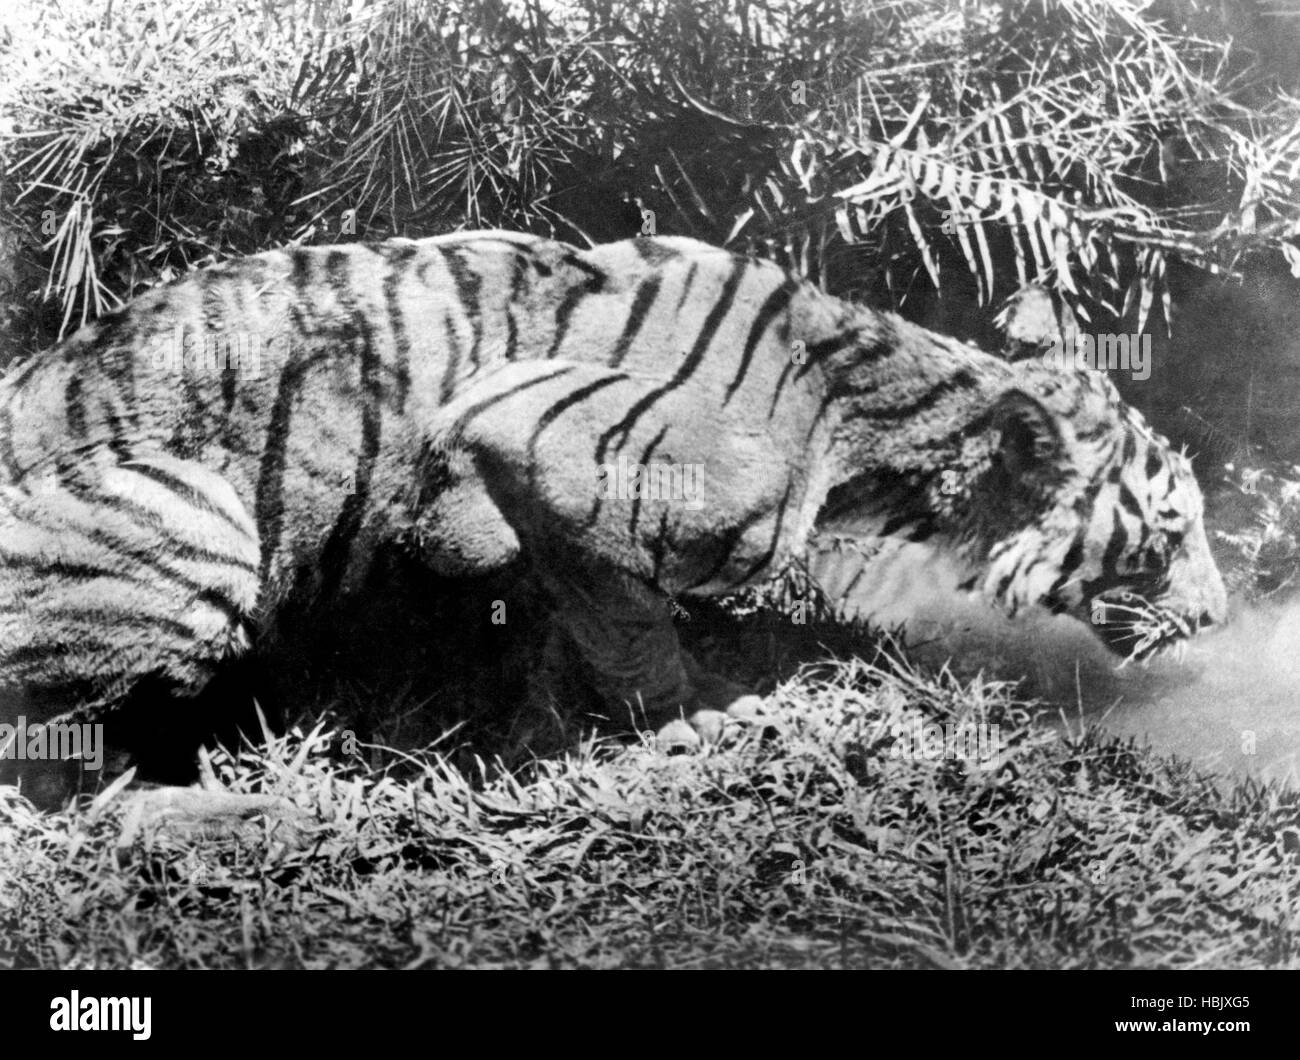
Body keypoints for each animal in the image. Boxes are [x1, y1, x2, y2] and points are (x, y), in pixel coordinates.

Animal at [0, 229, 1226, 828]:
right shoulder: (530, 430)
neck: (868, 426)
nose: (1218, 618)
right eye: (1166, 542)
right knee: (62, 778)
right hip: (204, 525)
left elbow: (578, 611)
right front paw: (691, 721)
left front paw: (543, 716)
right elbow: (634, 624)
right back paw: (228, 815)